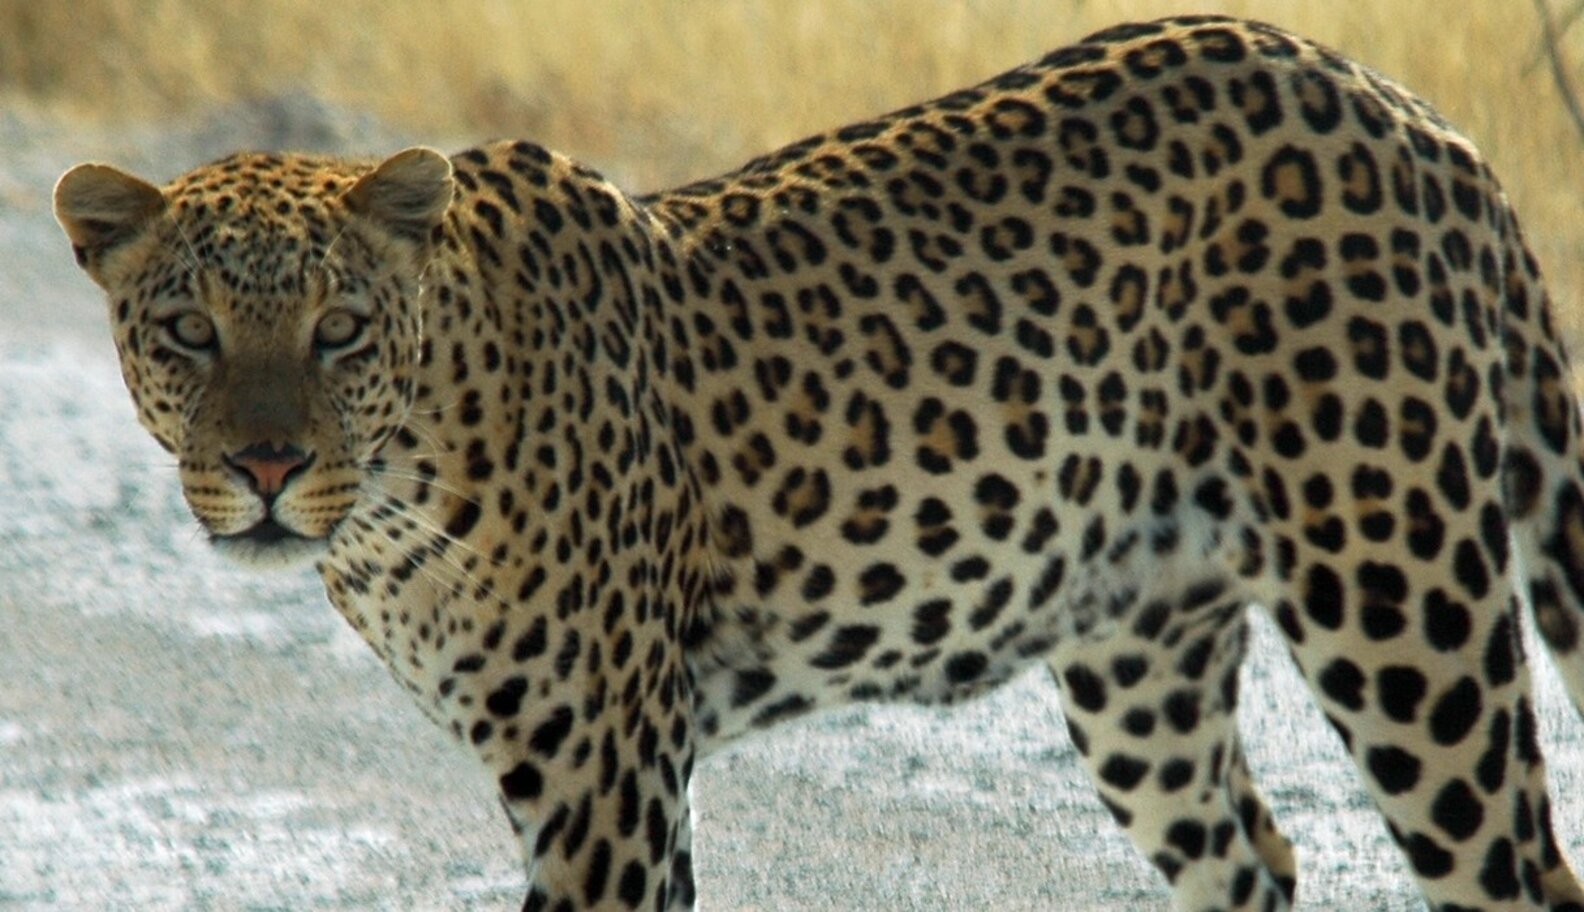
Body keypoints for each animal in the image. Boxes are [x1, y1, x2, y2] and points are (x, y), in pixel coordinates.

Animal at [52, 14, 1584, 911]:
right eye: (188, 332)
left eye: (340, 330)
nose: (263, 467)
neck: (395, 498)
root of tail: (1408, 110)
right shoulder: (619, 778)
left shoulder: (602, 776)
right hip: (1142, 671)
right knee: (1255, 854)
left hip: (1403, 612)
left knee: (1516, 870)